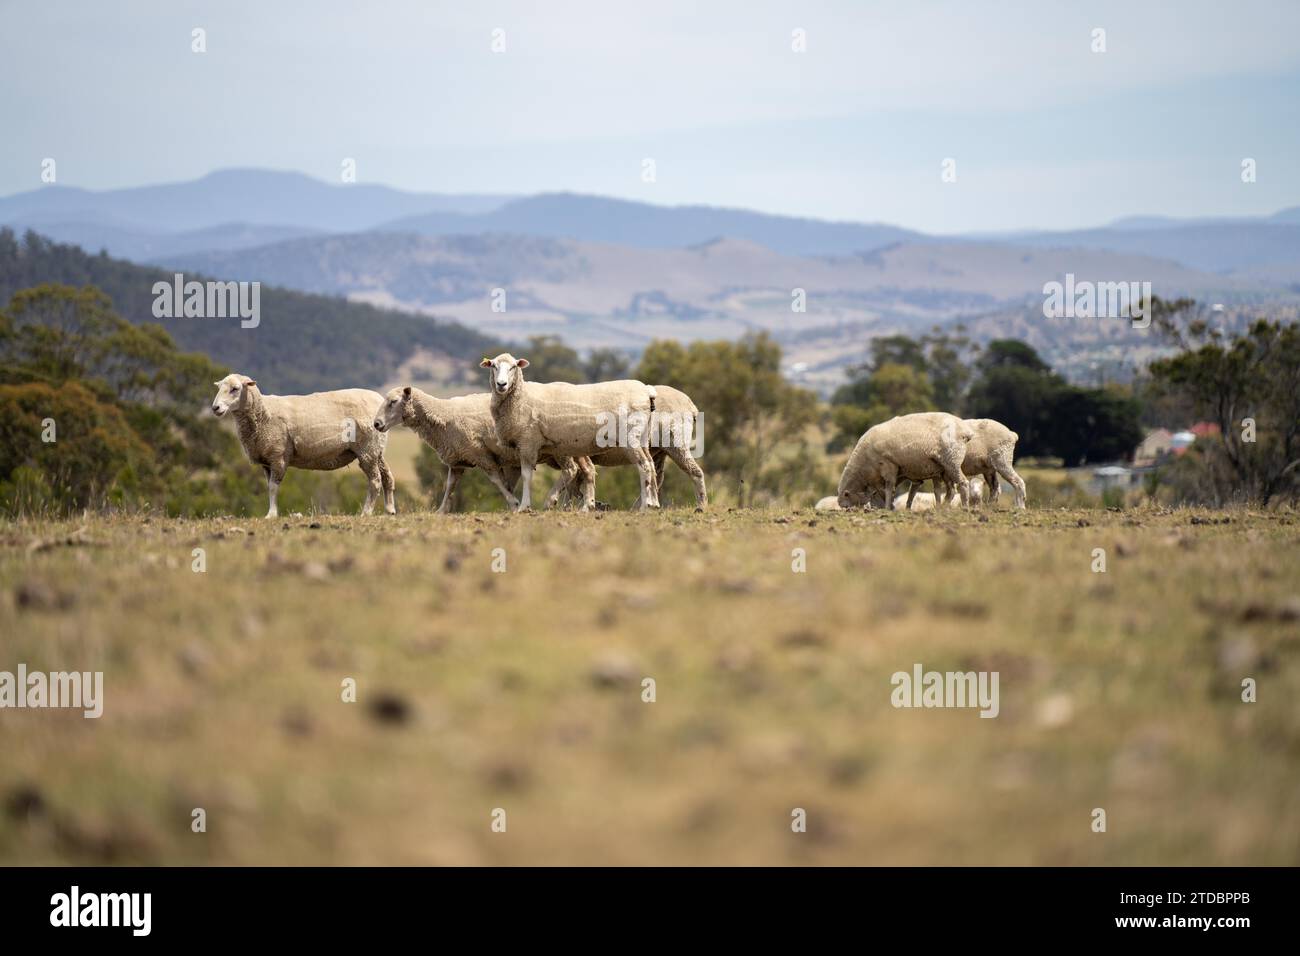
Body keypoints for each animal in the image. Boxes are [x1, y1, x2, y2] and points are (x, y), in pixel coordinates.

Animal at [211, 373, 395, 518]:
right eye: (219, 388)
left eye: (235, 388)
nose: (215, 408)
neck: (263, 413)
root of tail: (380, 399)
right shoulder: (266, 461)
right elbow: (268, 487)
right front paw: (271, 512)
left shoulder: (278, 456)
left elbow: (273, 487)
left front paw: (271, 515)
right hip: (376, 450)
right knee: (387, 477)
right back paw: (390, 509)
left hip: (367, 449)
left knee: (375, 481)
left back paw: (366, 512)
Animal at [372, 386, 584, 512]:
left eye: (393, 402)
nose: (376, 424)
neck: (444, 415)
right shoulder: (458, 460)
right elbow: (450, 485)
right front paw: (441, 510)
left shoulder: (480, 454)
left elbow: (496, 481)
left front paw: (514, 503)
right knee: (579, 473)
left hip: (560, 450)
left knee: (571, 470)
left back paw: (552, 500)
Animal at [480, 353, 660, 512]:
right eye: (494, 366)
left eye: (513, 367)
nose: (501, 384)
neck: (521, 397)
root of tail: (646, 391)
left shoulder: (528, 441)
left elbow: (526, 476)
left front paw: (524, 507)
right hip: (642, 436)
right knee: (651, 464)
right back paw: (652, 504)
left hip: (630, 437)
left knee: (643, 465)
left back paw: (644, 507)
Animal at [837, 412, 975, 510]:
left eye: (846, 507)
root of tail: (964, 429)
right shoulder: (901, 473)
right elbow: (896, 492)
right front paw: (892, 506)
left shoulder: (888, 465)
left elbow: (889, 488)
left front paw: (888, 507)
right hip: (945, 468)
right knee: (951, 490)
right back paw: (942, 508)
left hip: (952, 460)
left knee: (963, 483)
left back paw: (964, 507)